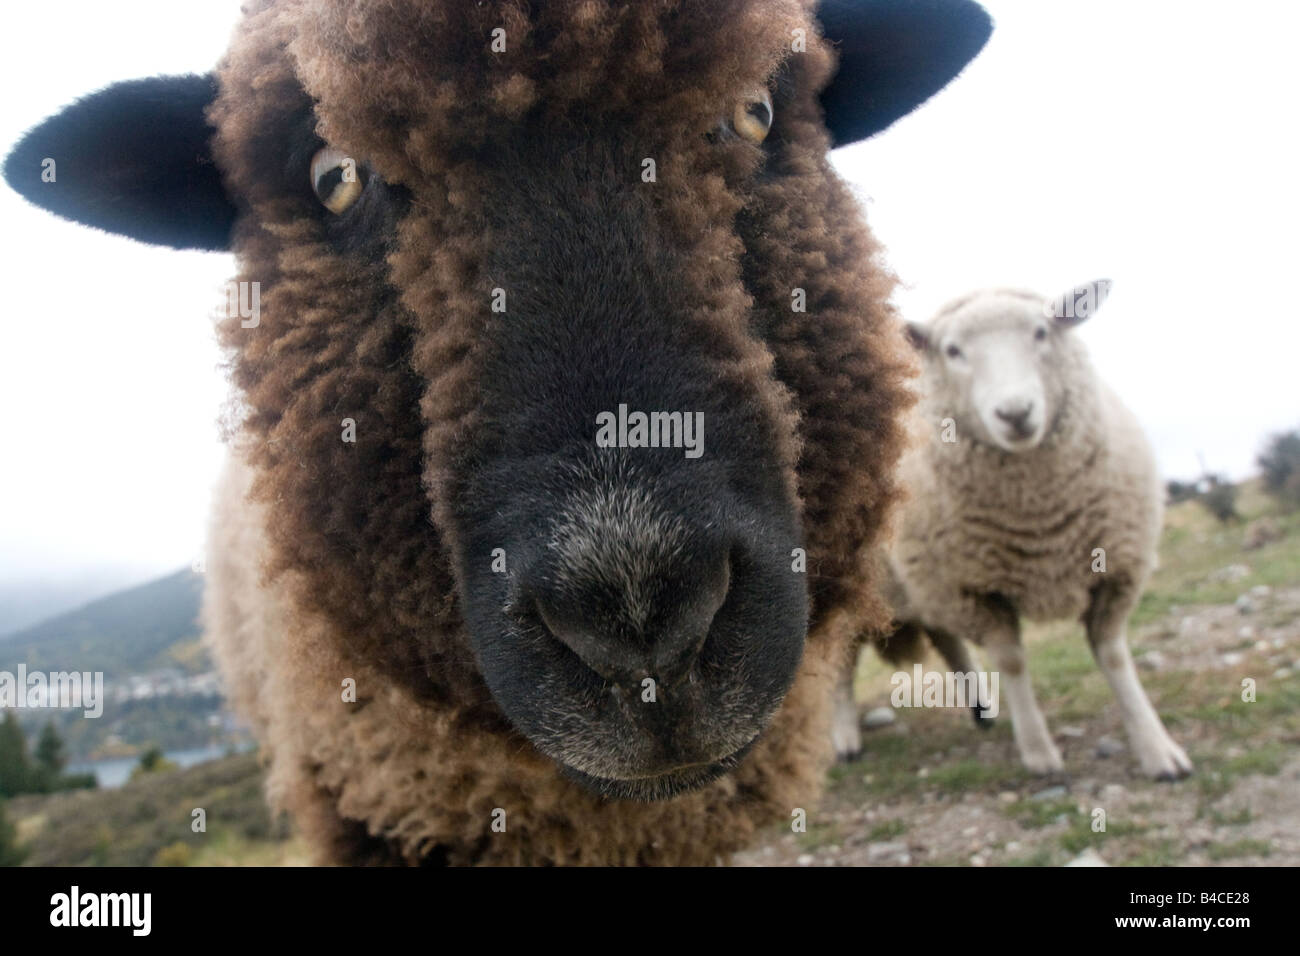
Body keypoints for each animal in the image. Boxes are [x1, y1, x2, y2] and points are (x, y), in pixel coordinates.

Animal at [832, 281, 1194, 781]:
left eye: (1042, 331)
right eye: (952, 350)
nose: (1015, 412)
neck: (1038, 515)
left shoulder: (1115, 572)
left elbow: (1114, 657)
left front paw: (1157, 747)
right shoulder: (975, 589)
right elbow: (1013, 663)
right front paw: (1039, 752)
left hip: (922, 583)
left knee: (948, 643)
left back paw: (981, 710)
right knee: (842, 668)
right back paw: (847, 736)